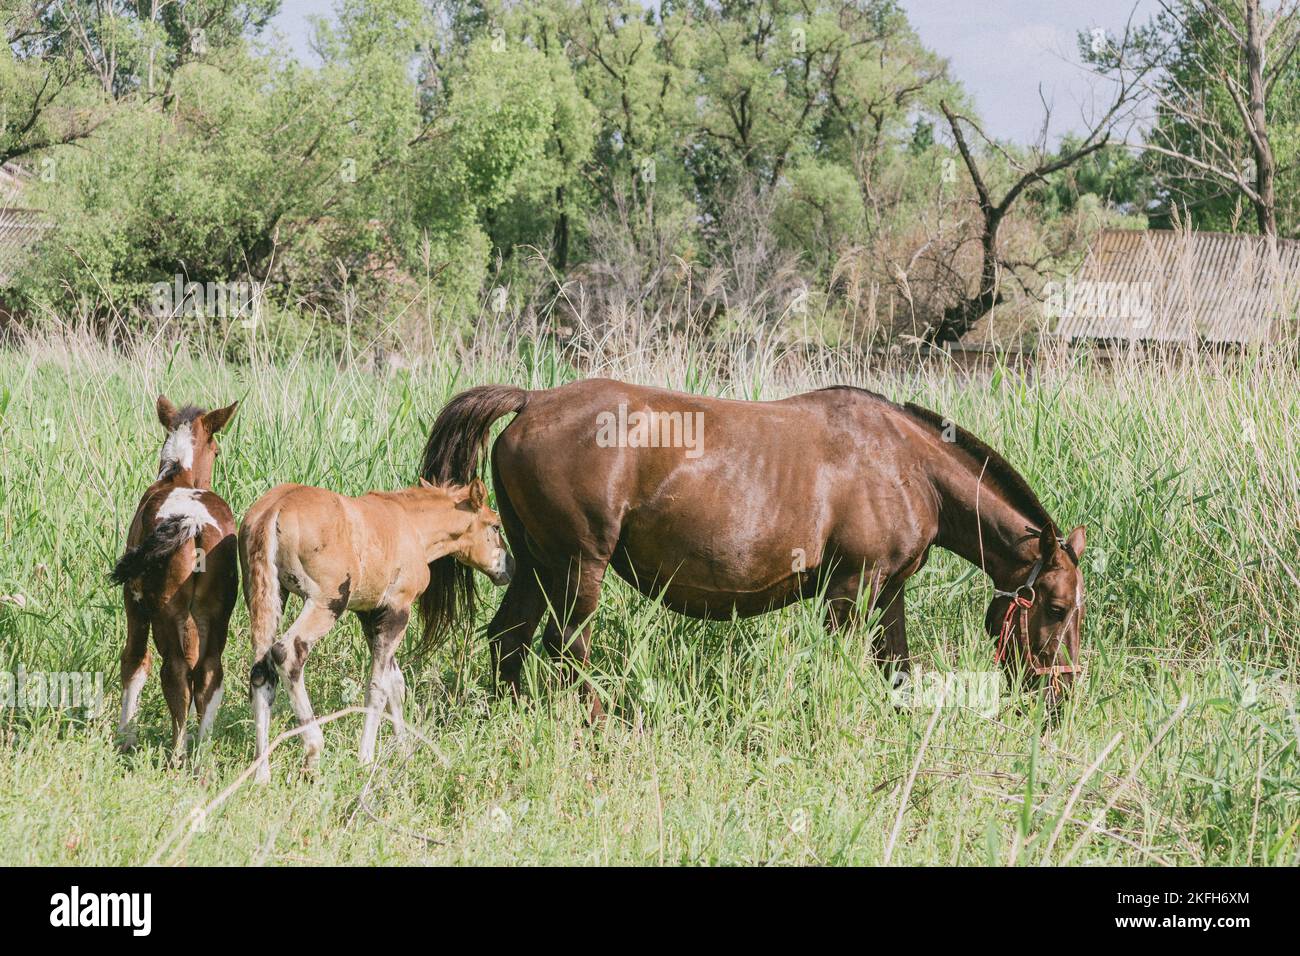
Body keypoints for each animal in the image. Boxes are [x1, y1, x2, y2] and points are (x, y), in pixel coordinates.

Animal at [111, 396, 239, 758]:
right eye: (218, 451)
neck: (176, 476)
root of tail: (191, 522)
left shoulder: (134, 600)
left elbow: (134, 661)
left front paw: (126, 737)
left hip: (164, 607)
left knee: (174, 671)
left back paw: (177, 753)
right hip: (216, 611)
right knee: (208, 670)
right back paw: (200, 753)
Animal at [239, 477, 513, 782]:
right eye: (496, 526)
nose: (509, 567)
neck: (411, 524)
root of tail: (273, 510)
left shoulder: (369, 615)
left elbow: (395, 683)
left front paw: (404, 750)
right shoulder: (397, 609)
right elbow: (378, 688)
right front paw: (366, 758)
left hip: (267, 596)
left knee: (261, 673)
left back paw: (262, 773)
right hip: (325, 602)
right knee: (288, 653)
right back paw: (313, 750)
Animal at [419, 379, 1086, 716]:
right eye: (1056, 609)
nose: (1063, 696)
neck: (904, 465)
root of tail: (532, 401)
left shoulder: (889, 591)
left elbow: (894, 665)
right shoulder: (850, 590)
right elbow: (843, 665)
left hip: (538, 565)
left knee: (509, 639)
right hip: (580, 568)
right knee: (565, 648)